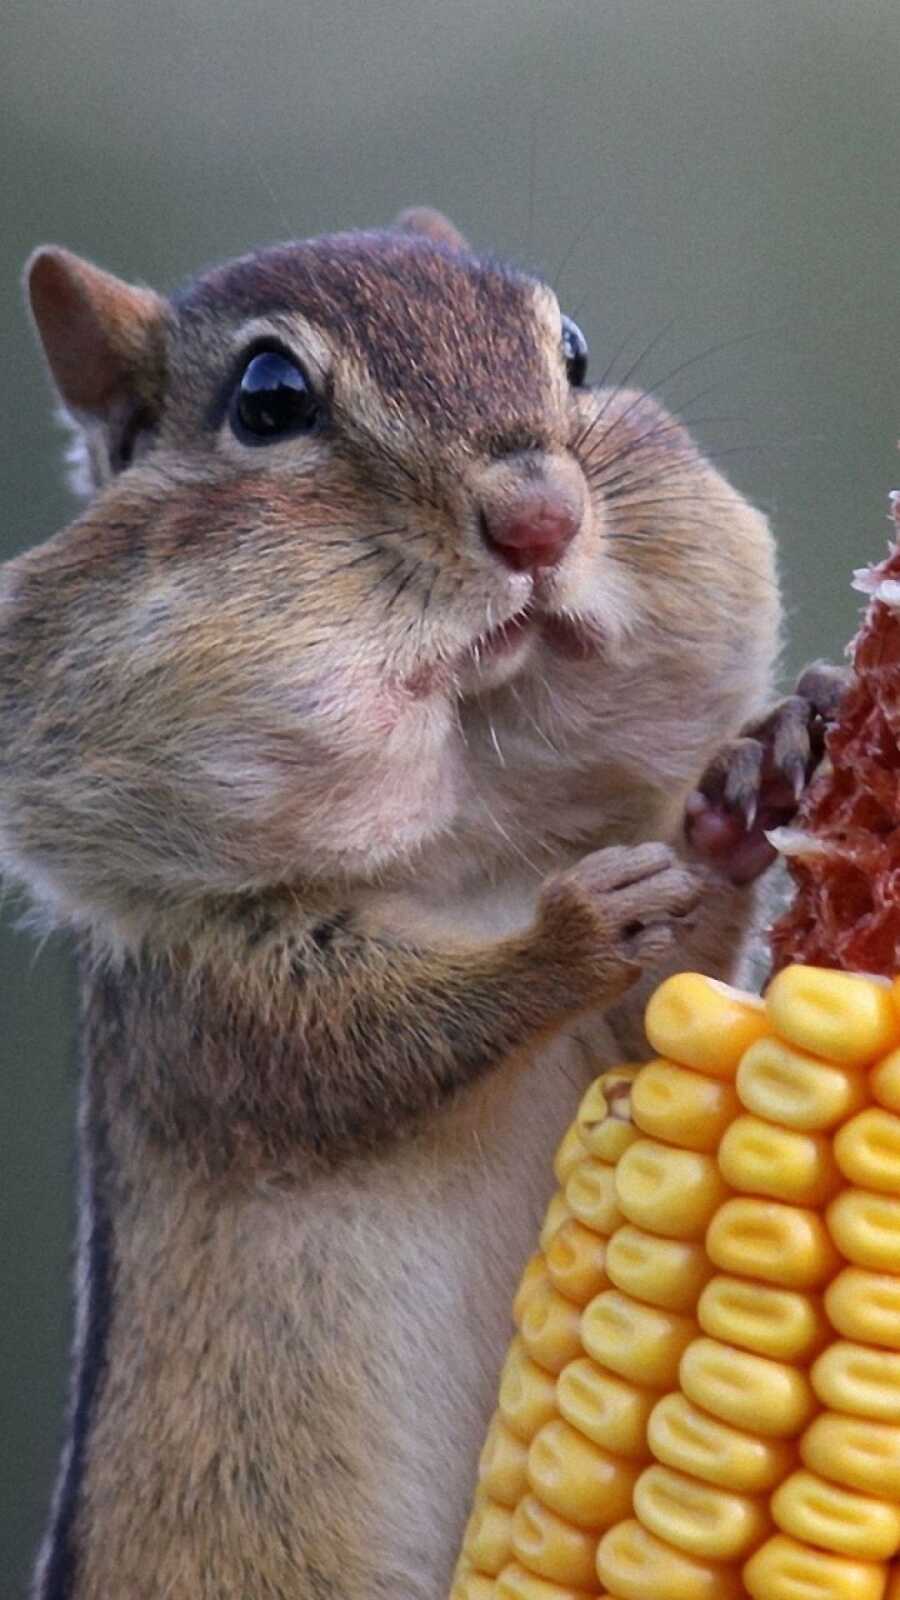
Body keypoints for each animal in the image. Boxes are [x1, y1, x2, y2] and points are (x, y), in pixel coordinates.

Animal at [1, 206, 843, 1599]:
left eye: (572, 349)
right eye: (269, 399)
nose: (542, 515)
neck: (467, 852)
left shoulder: (624, 1049)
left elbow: (670, 1004)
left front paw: (752, 777)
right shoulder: (201, 1002)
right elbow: (360, 1047)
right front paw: (570, 933)